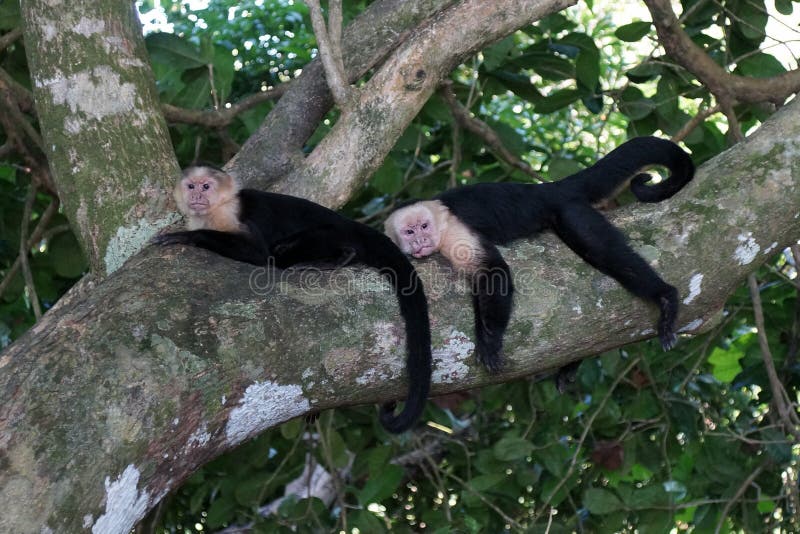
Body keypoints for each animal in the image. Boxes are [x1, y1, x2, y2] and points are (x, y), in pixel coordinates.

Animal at [153, 165, 432, 433]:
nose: (197, 196)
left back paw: (338, 258)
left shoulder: (229, 213)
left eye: (206, 186)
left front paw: (187, 238)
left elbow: (257, 252)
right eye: (191, 186)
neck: (212, 212)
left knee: (281, 252)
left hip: (335, 233)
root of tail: (354, 225)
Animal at [384, 136, 695, 372]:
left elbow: (493, 270)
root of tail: (550, 188)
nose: (421, 240)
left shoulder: (452, 231)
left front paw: (490, 343)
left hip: (570, 210)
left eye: (424, 226)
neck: (439, 220)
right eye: (409, 232)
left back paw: (665, 297)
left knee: (605, 251)